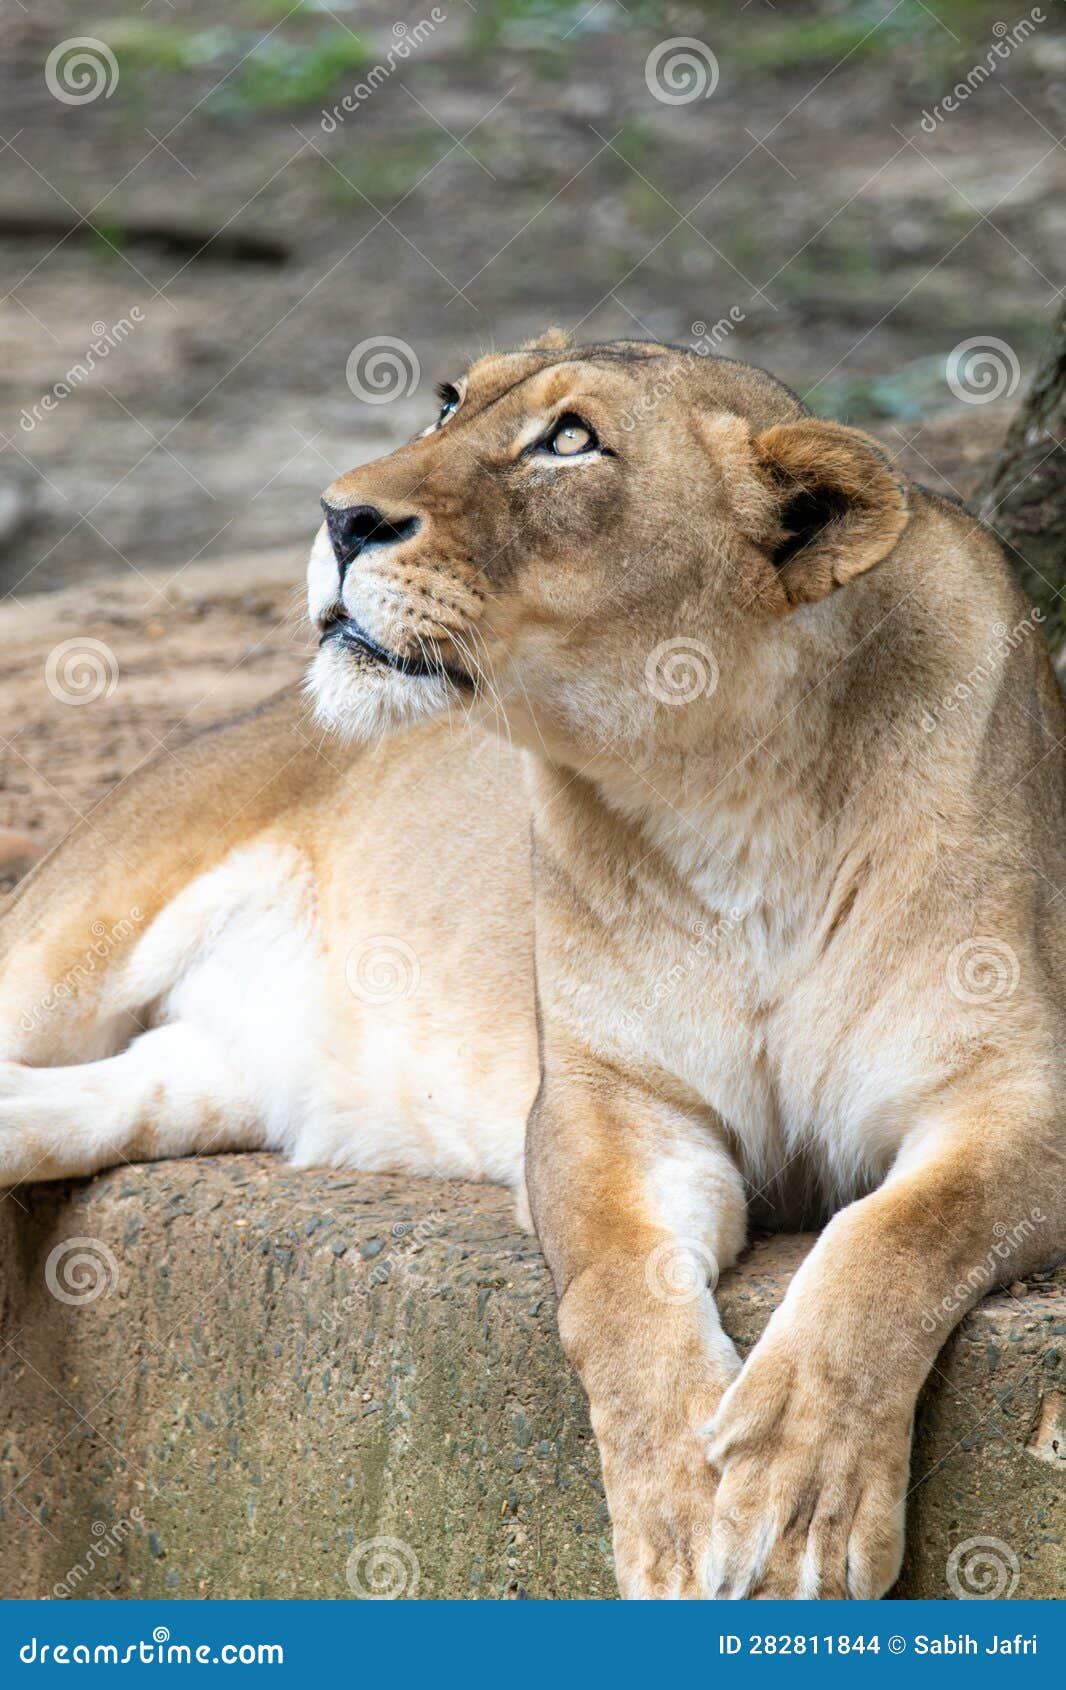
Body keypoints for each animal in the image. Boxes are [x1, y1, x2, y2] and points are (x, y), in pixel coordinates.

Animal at [1, 333, 1063, 1600]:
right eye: (448, 399)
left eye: (571, 440)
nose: (339, 516)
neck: (733, 797)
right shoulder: (606, 1101)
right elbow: (617, 1284)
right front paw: (679, 1503)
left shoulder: (1019, 1097)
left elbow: (893, 1237)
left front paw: (799, 1493)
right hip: (66, 943)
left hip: (189, 1077)